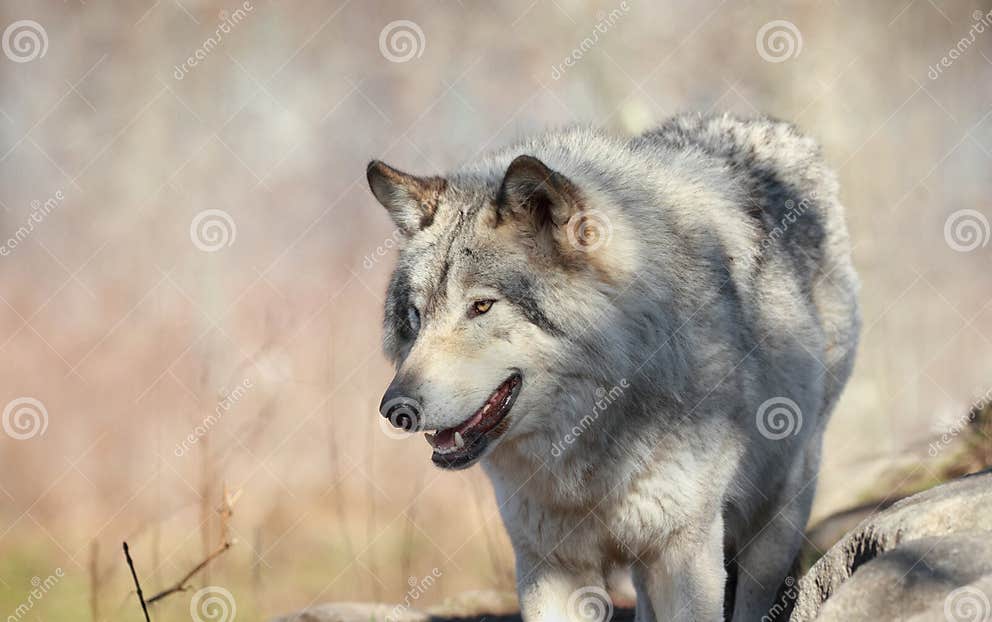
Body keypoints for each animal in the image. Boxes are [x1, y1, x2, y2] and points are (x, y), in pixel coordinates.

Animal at [367, 113, 860, 622]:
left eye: (481, 306)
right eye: (415, 317)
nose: (394, 409)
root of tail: (766, 123)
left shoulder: (686, 552)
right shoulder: (548, 564)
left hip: (777, 512)